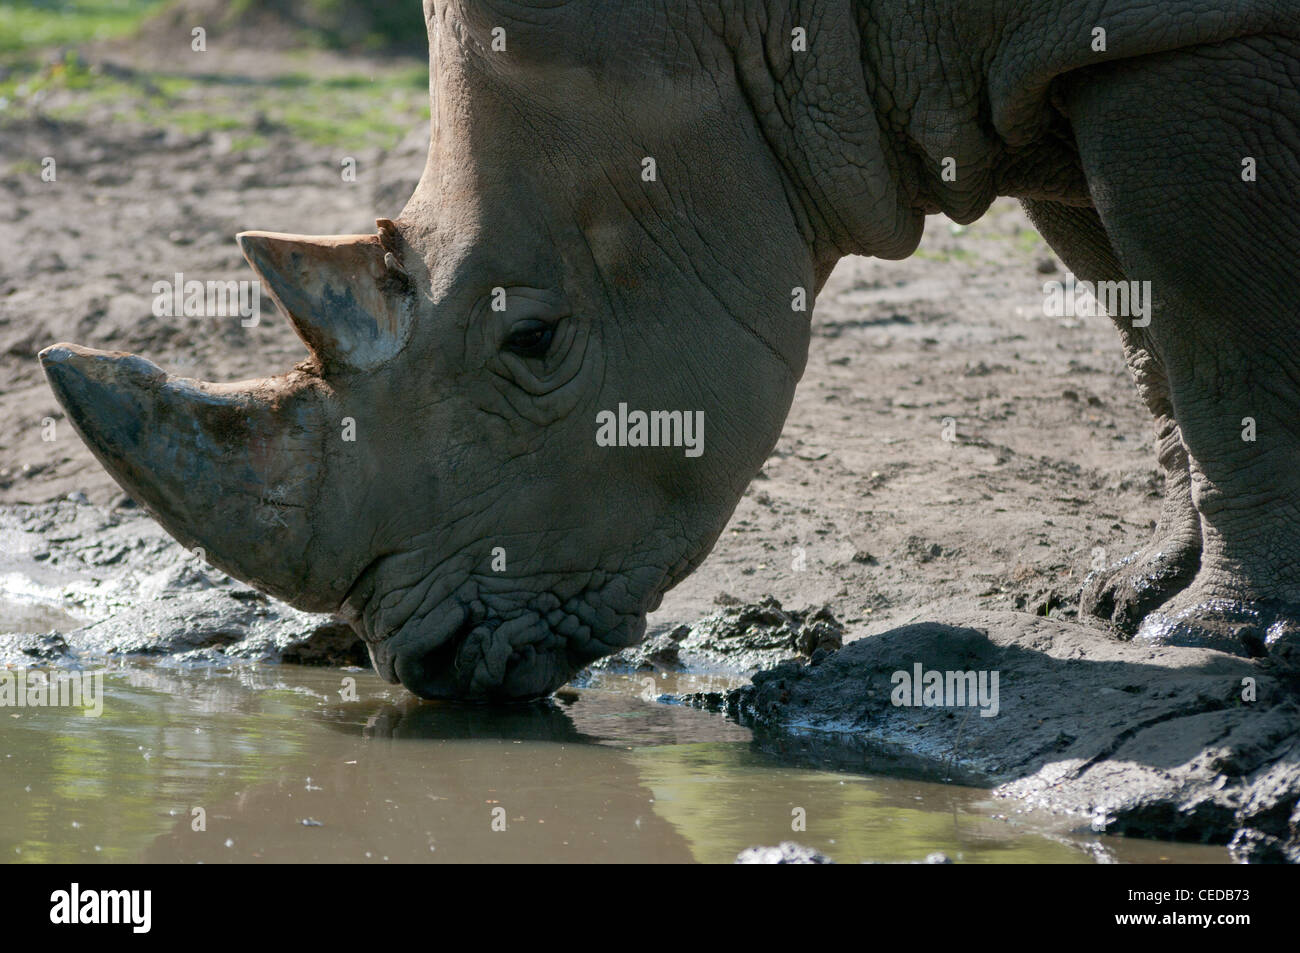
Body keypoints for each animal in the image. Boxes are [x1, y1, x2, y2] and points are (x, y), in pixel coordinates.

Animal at [40, 1, 1300, 700]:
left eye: (534, 338)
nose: (430, 664)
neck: (773, 23)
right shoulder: (1045, 62)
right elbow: (1139, 319)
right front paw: (1134, 596)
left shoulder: (1184, 34)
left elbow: (1219, 327)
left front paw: (1212, 635)